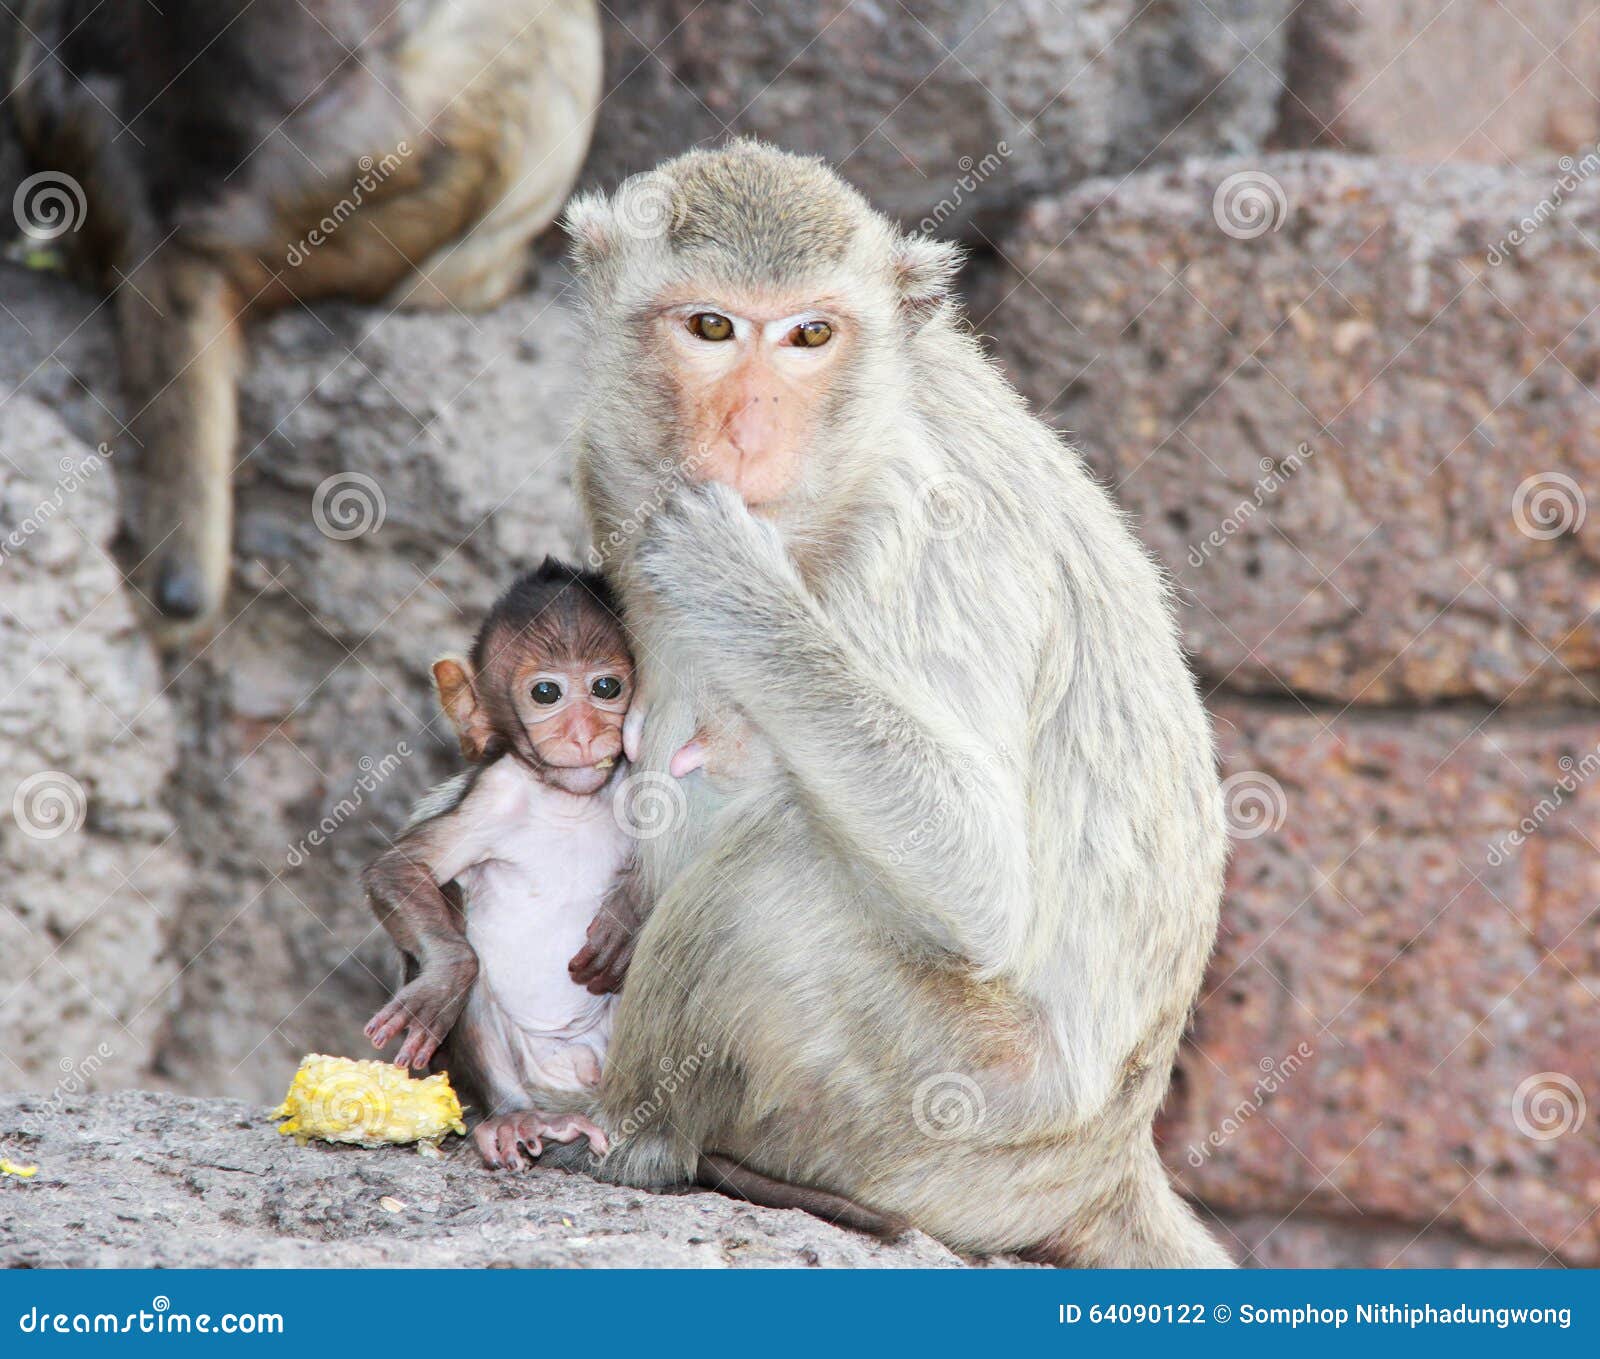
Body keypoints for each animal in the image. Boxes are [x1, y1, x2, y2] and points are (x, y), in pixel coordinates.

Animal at [559, 140, 1232, 1267]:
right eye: (713, 328)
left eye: (810, 336)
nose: (751, 428)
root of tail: (1108, 1159)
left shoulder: (923, 538)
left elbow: (980, 871)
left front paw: (734, 581)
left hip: (960, 1114)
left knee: (777, 880)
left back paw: (640, 1138)